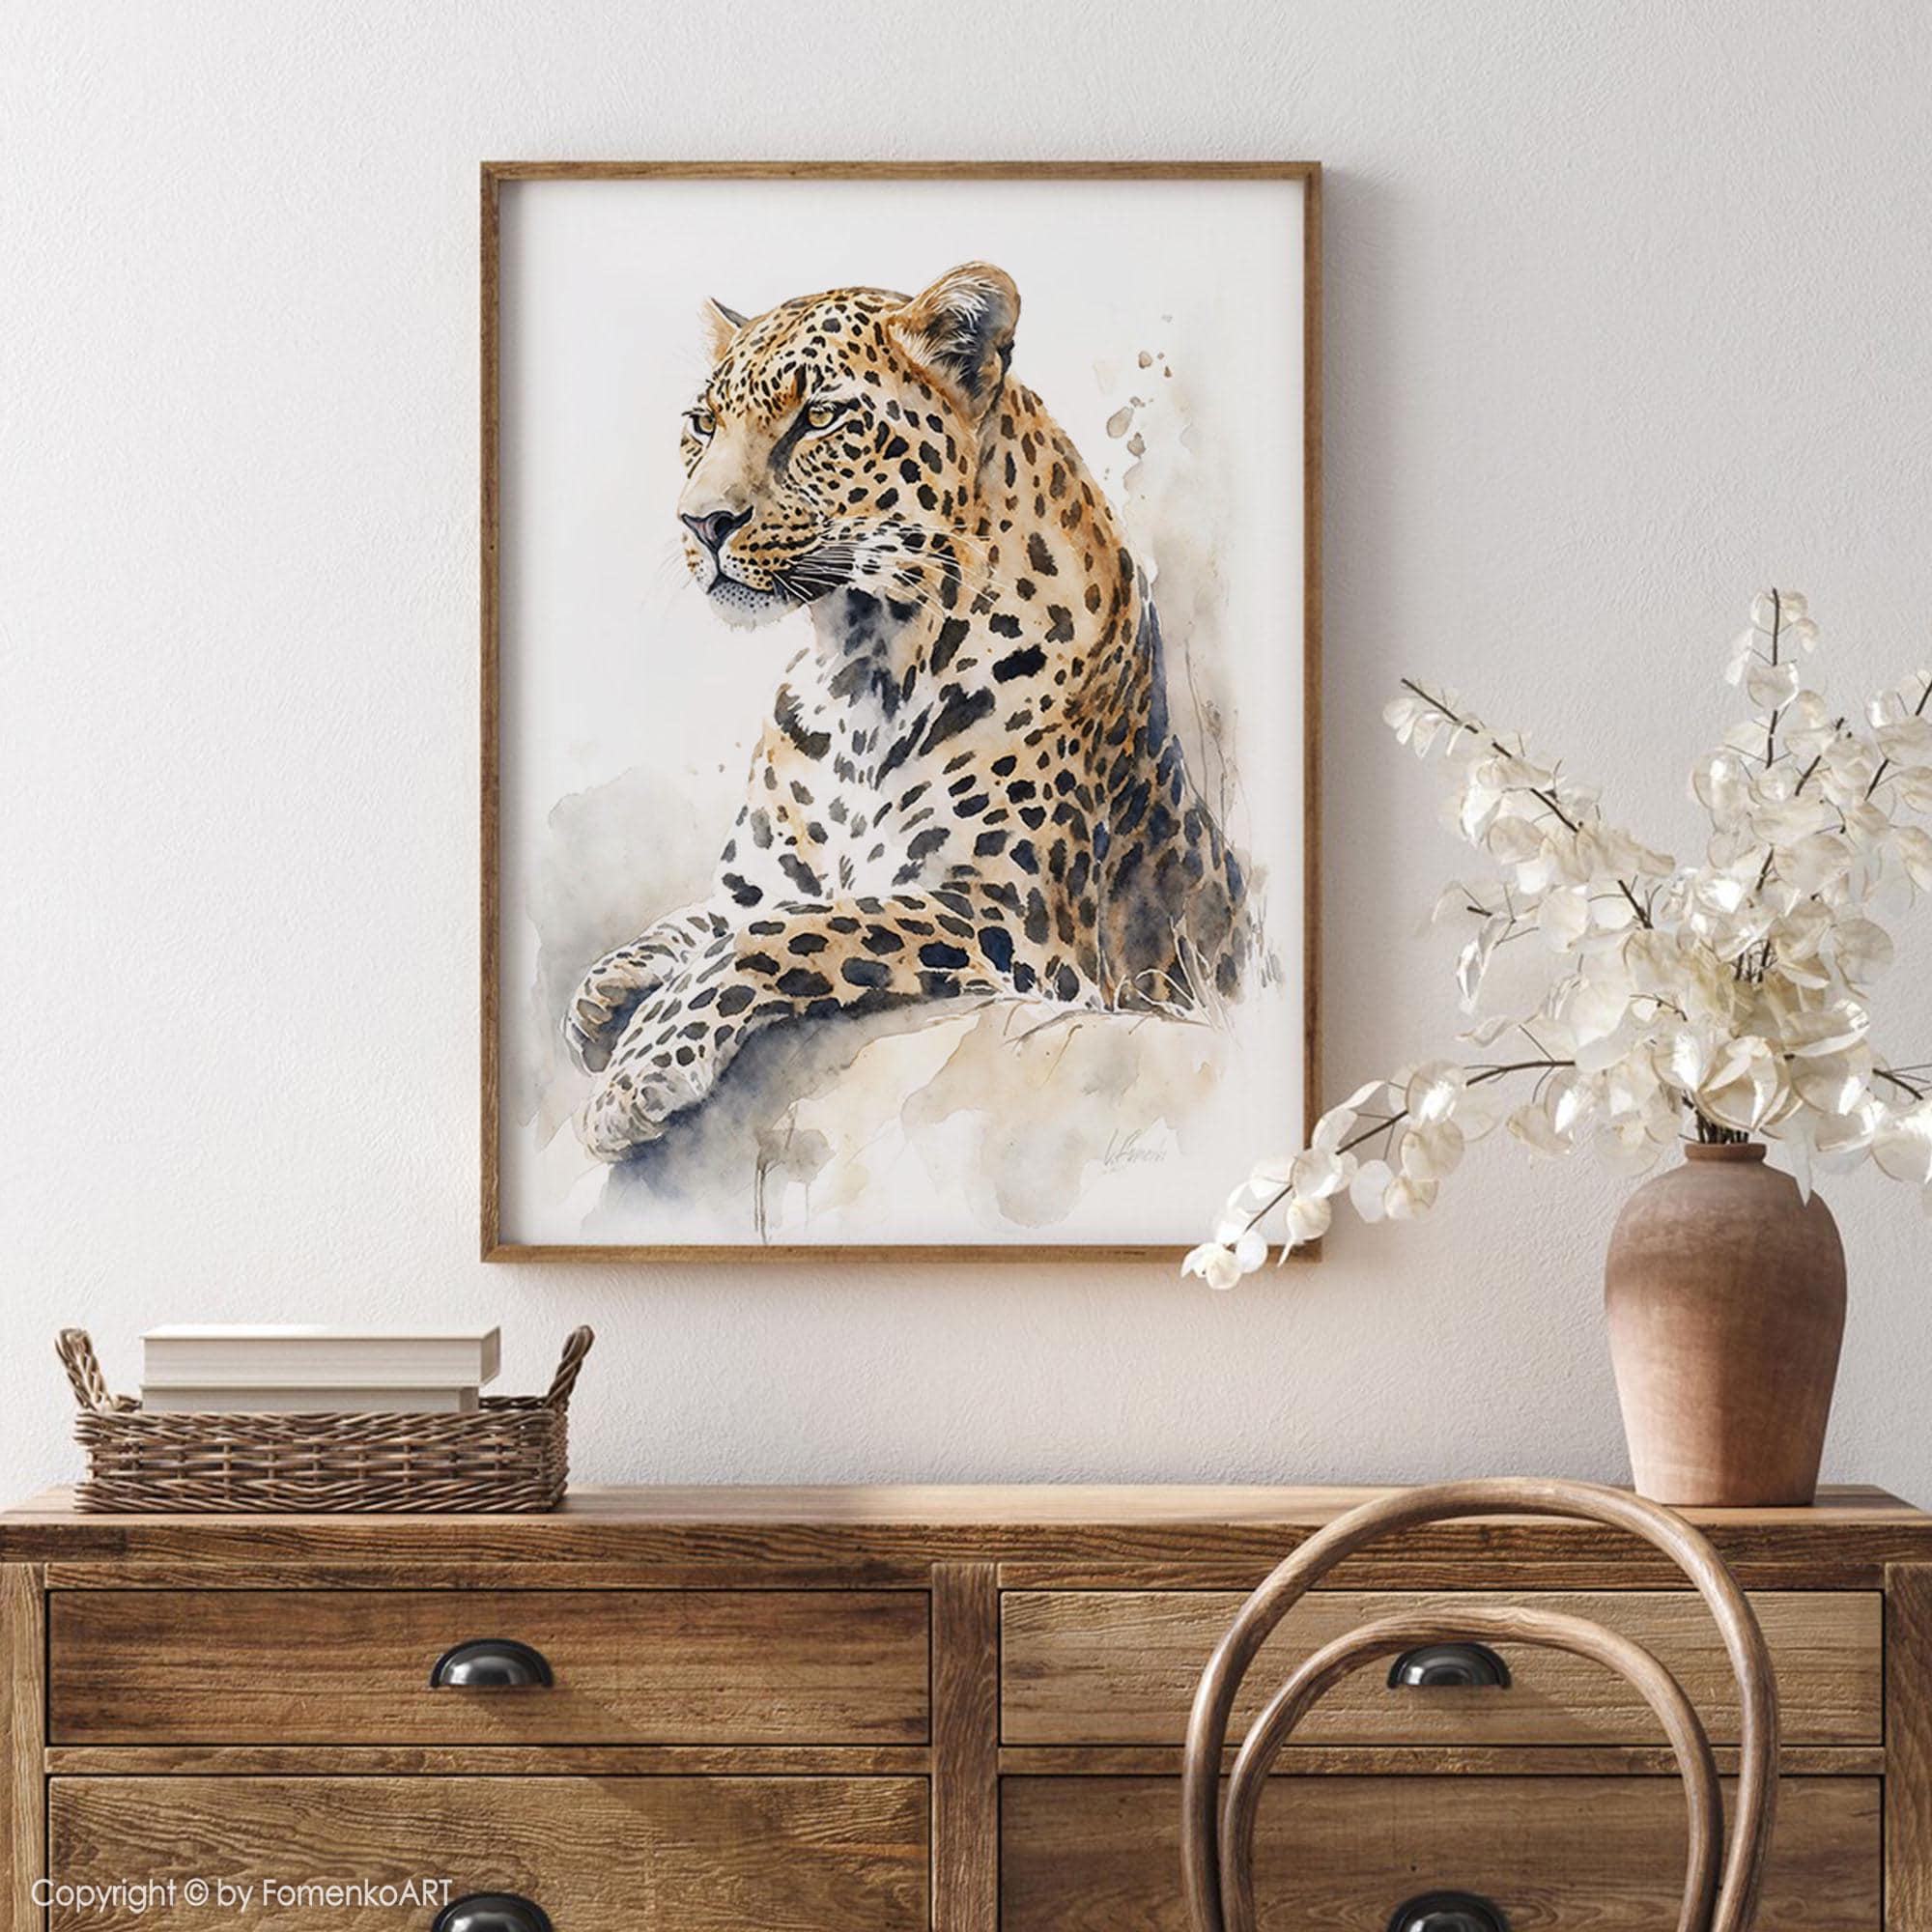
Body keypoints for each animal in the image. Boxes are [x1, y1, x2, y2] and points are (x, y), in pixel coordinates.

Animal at [564, 261, 1254, 1160]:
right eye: (701, 424)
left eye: (818, 418)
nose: (700, 521)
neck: (860, 663)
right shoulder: (768, 879)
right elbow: (723, 915)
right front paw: (608, 983)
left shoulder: (1013, 923)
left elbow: (791, 931)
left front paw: (642, 1066)